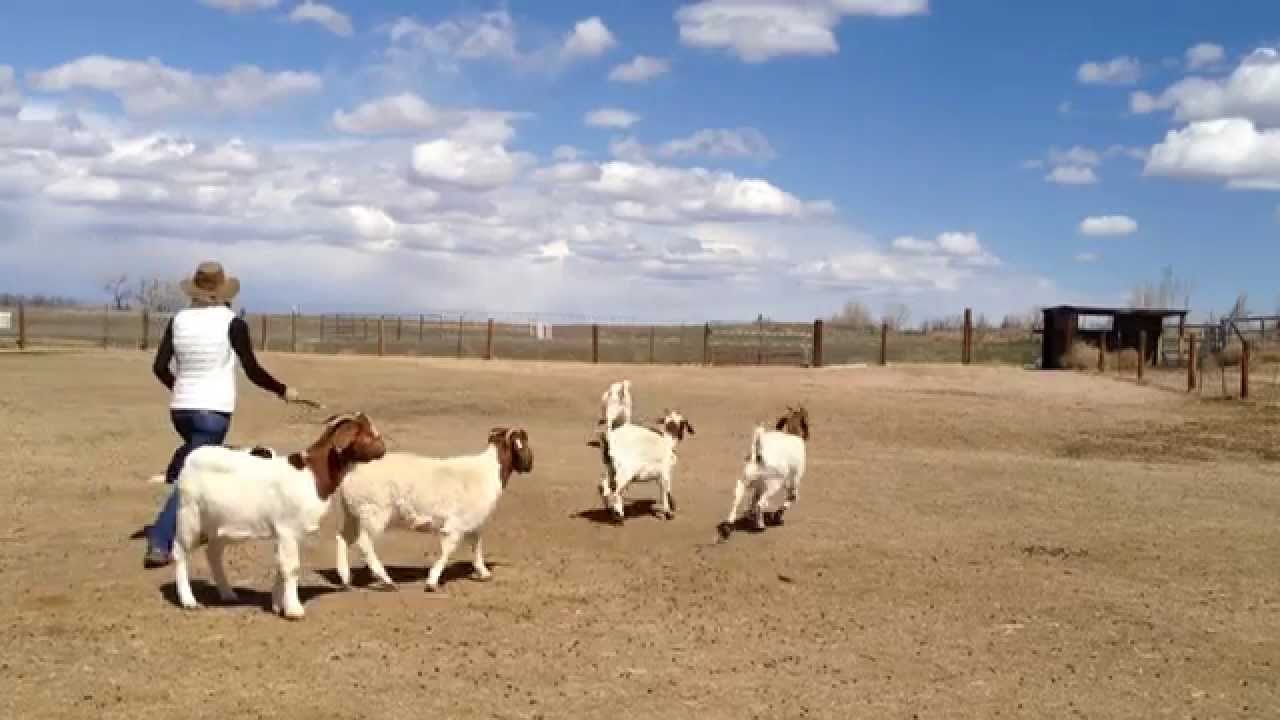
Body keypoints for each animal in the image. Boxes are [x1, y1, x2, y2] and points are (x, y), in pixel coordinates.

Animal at [171, 412, 386, 619]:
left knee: (213, 553)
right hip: (189, 514)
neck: (313, 475)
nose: (383, 449)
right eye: (367, 435)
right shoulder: (288, 530)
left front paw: (277, 605)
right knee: (180, 551)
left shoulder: (290, 533)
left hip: (223, 524)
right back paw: (189, 601)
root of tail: (193, 456)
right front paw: (294, 610)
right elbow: (291, 568)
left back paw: (227, 594)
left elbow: (281, 565)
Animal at [334, 427, 534, 592]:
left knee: (342, 538)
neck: (489, 472)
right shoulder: (455, 526)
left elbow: (476, 546)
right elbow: (448, 551)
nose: (529, 465)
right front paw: (432, 582)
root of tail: (351, 472)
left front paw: (484, 573)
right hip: (374, 512)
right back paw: (386, 581)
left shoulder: (473, 522)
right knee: (364, 543)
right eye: (523, 444)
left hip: (353, 512)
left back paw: (346, 579)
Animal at [717, 406, 809, 541]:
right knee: (761, 503)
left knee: (737, 499)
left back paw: (727, 527)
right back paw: (760, 526)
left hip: (744, 481)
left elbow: (753, 501)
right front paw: (777, 516)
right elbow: (793, 497)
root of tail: (758, 456)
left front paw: (749, 514)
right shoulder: (793, 481)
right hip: (773, 485)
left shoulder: (759, 486)